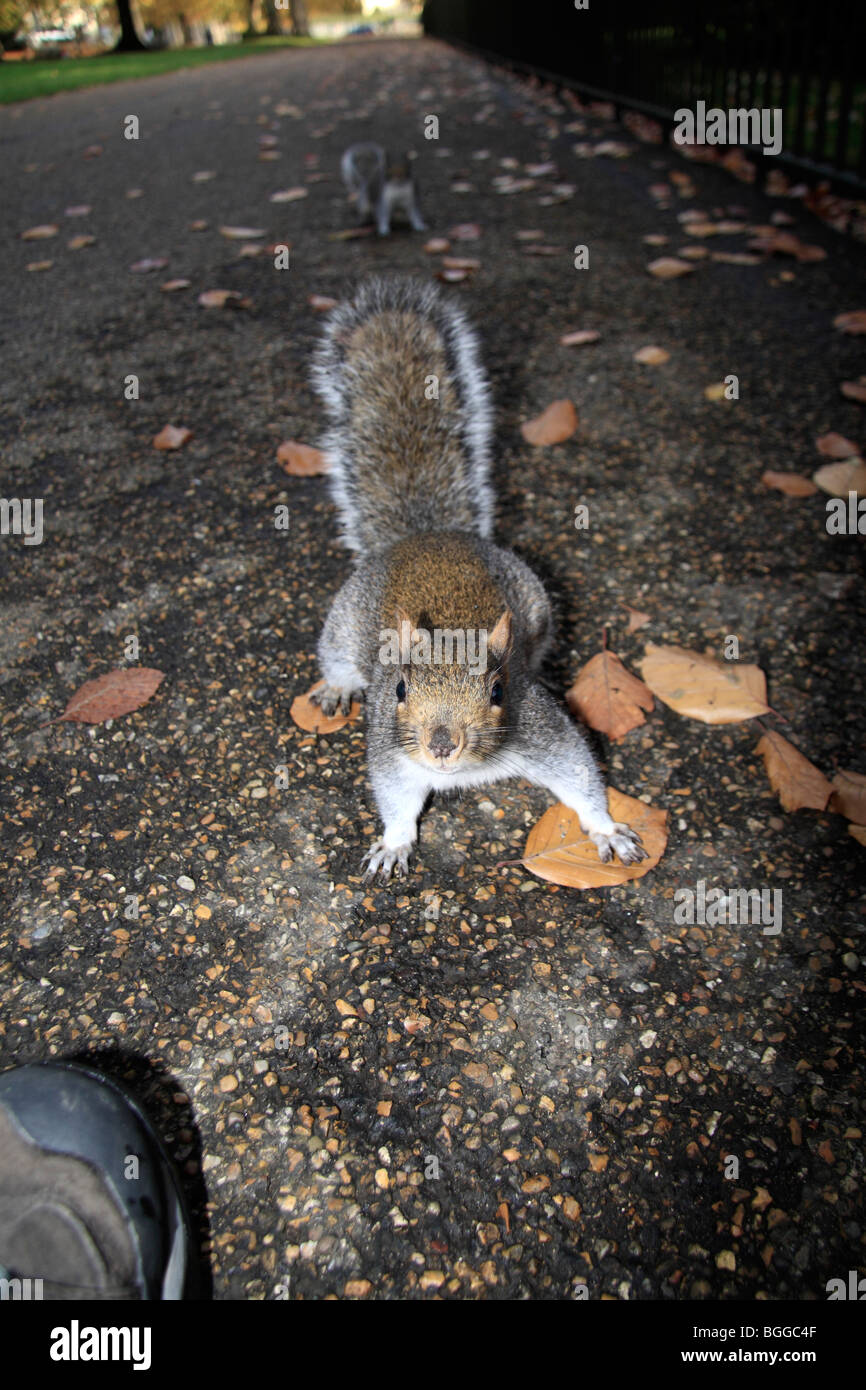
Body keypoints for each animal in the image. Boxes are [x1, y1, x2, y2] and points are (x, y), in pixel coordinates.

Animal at [309, 276, 647, 881]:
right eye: (400, 688)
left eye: (497, 690)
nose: (443, 746)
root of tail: (429, 534)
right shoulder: (392, 752)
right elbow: (396, 801)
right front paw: (393, 843)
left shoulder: (541, 729)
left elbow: (582, 776)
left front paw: (607, 829)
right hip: (344, 621)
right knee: (337, 657)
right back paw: (337, 685)